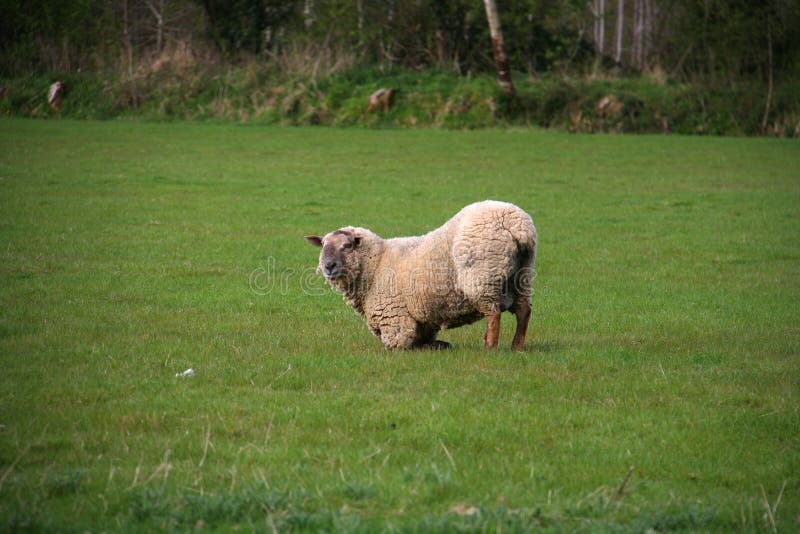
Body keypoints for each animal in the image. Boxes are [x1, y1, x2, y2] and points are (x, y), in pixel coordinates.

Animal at [305, 200, 536, 350]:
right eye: (323, 245)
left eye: (347, 246)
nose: (328, 266)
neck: (376, 264)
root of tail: (517, 224)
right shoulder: (422, 321)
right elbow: (423, 341)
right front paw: (438, 345)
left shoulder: (395, 319)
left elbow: (398, 345)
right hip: (522, 275)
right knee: (524, 311)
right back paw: (516, 346)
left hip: (482, 276)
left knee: (493, 313)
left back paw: (490, 347)